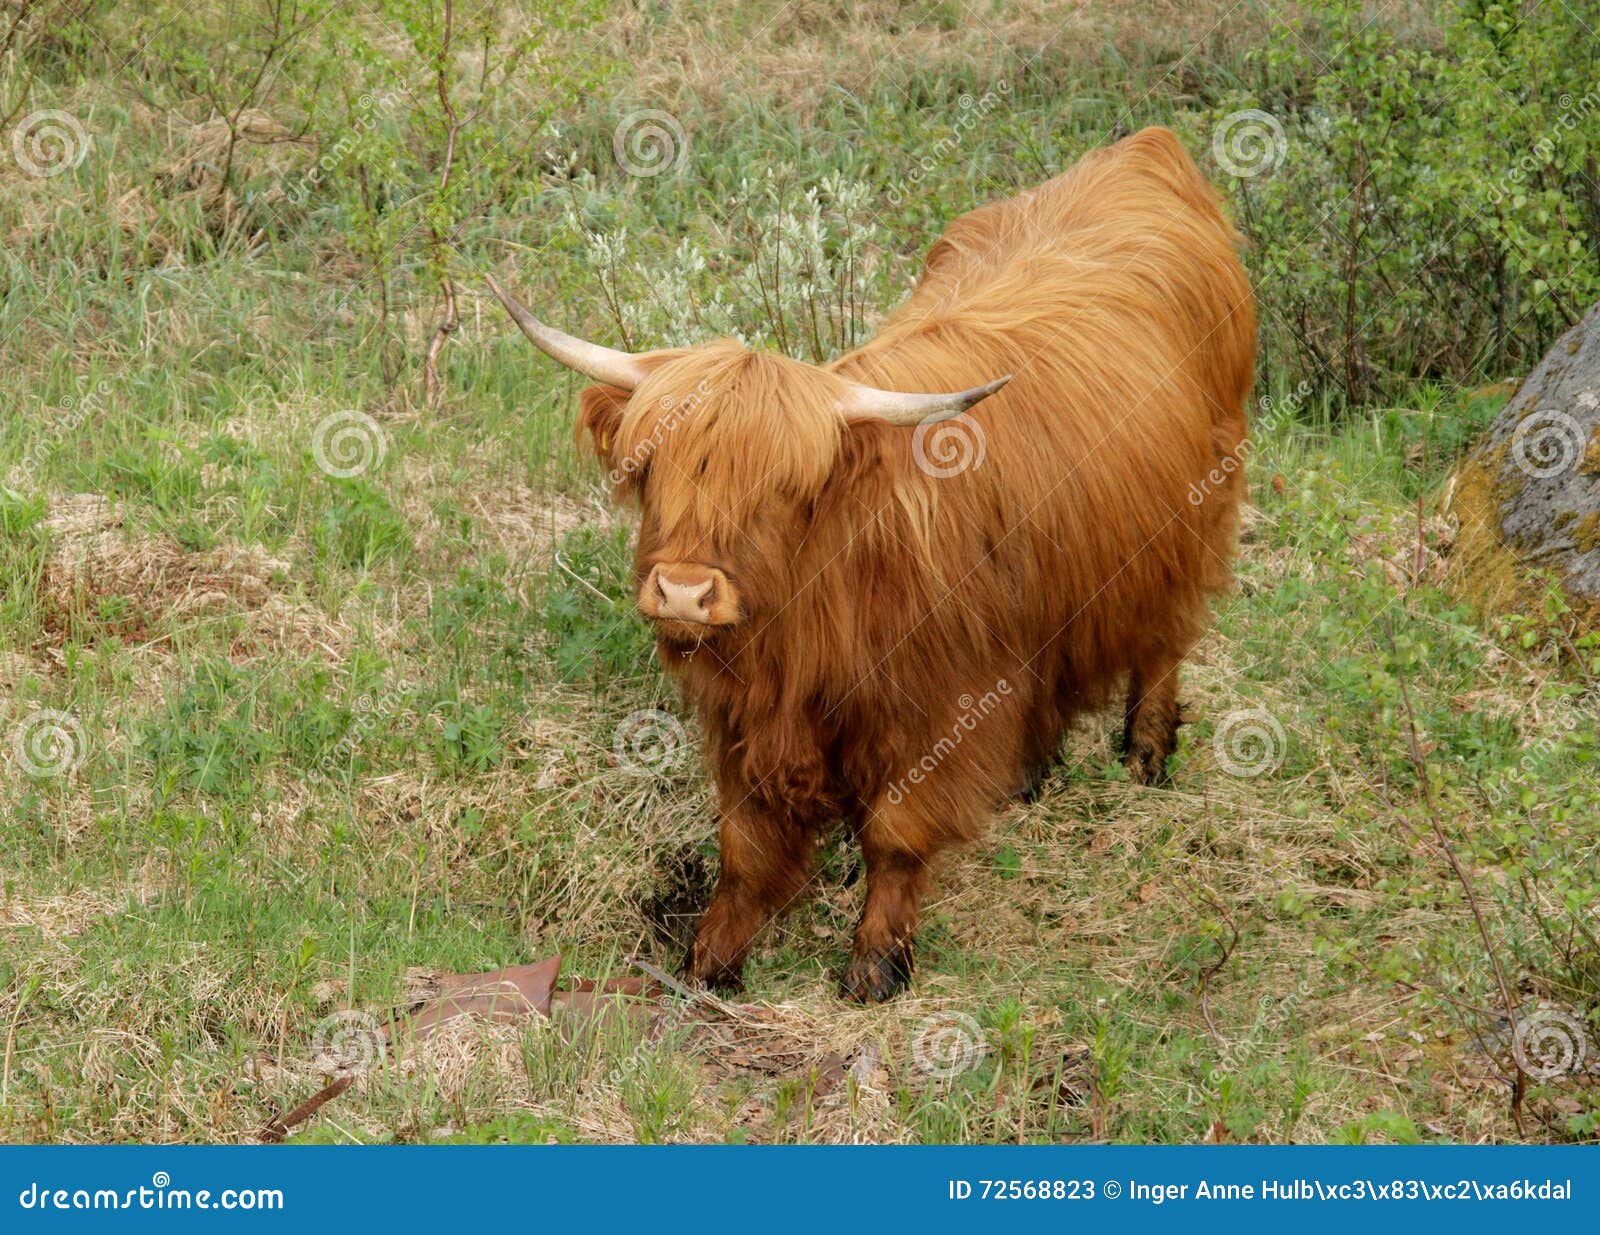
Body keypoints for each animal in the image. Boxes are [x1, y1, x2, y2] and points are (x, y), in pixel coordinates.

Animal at [488, 126, 1256, 1002]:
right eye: (650, 468)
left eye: (785, 490)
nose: (683, 593)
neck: (810, 614)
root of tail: (1145, 149)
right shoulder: (745, 717)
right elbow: (744, 843)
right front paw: (710, 960)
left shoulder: (932, 705)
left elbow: (896, 833)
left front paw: (876, 962)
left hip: (1199, 516)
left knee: (1167, 637)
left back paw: (1146, 753)